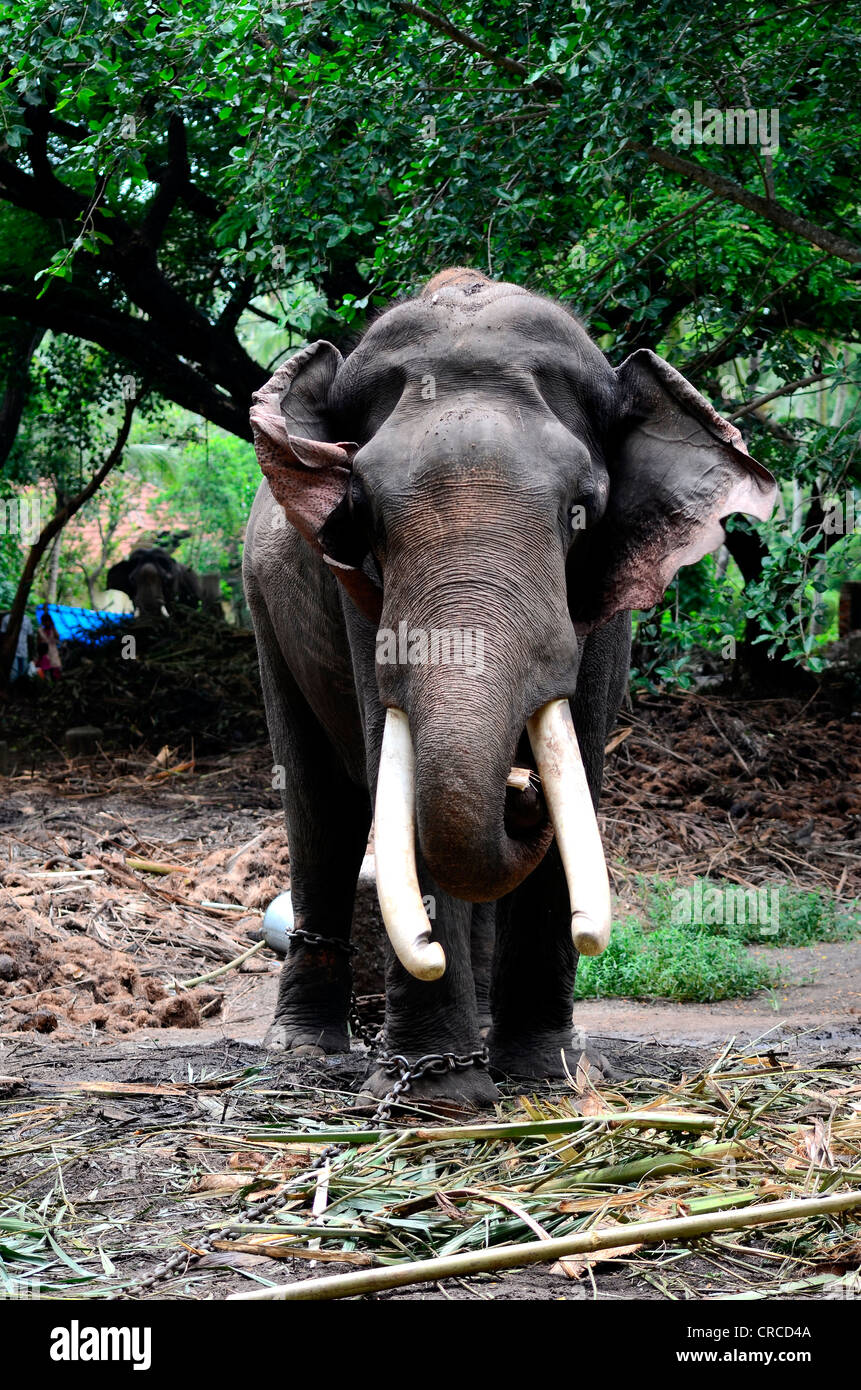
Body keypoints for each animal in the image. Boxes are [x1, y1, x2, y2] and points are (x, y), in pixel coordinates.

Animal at [243, 267, 777, 1106]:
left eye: (580, 512)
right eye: (362, 517)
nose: (518, 789)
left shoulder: (601, 602)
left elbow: (578, 757)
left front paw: (548, 1076)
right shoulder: (358, 597)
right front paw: (438, 1098)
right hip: (262, 601)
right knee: (318, 799)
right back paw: (305, 1053)